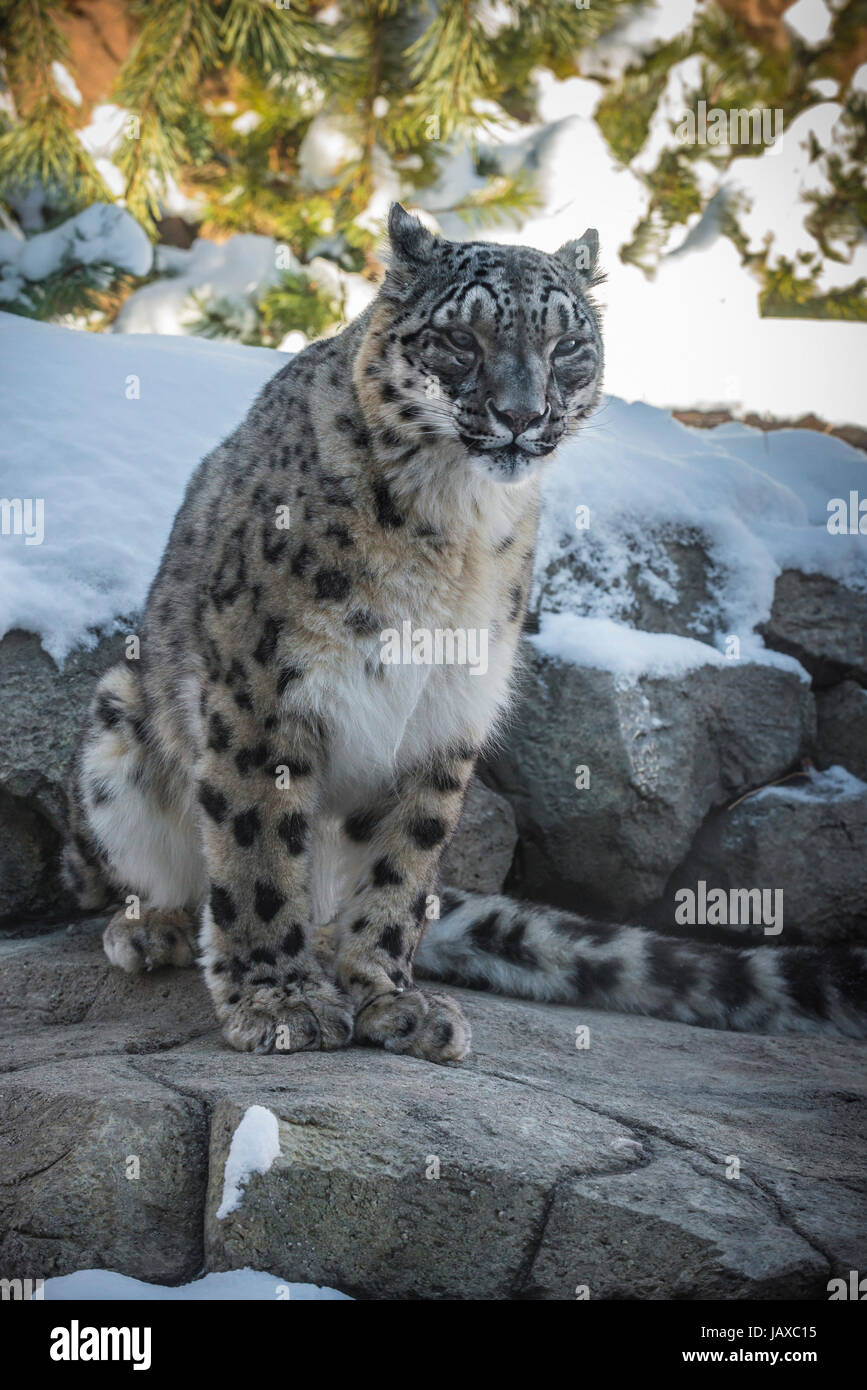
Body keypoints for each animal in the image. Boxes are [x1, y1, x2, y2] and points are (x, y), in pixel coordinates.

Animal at [62, 204, 867, 1058]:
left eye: (567, 345)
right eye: (459, 338)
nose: (521, 415)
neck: (453, 523)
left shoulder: (442, 711)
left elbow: (399, 868)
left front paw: (389, 998)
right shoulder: (262, 694)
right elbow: (257, 852)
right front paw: (281, 1000)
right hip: (117, 725)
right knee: (138, 877)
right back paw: (154, 929)